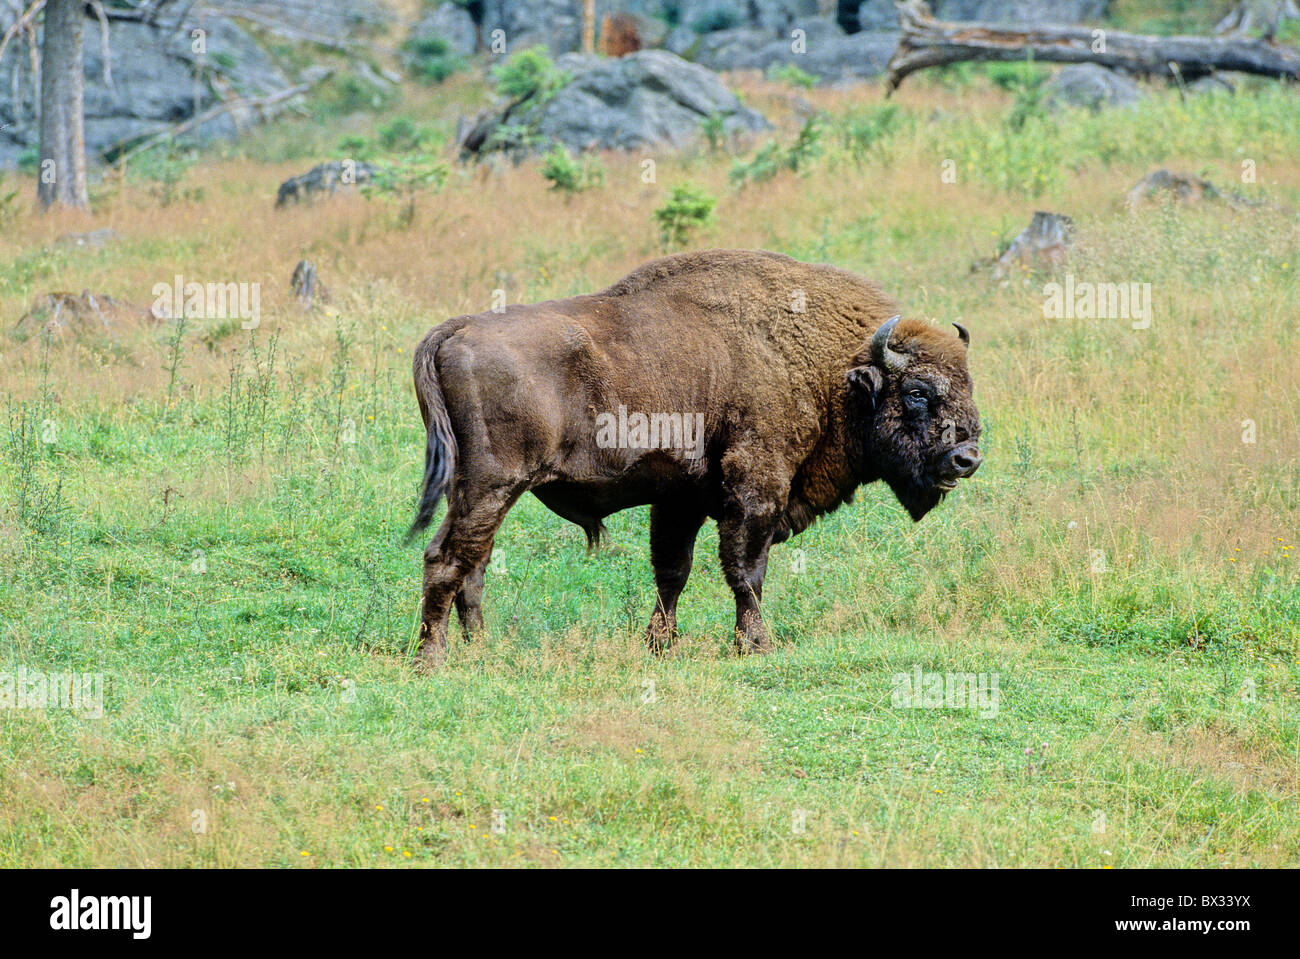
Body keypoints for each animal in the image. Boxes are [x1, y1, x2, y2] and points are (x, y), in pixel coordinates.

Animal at [407, 250, 981, 666]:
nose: (967, 458)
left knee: (474, 564)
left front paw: (661, 645)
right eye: (917, 392)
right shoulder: (755, 488)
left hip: (485, 490)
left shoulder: (678, 499)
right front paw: (755, 645)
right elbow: (745, 571)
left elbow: (672, 571)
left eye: (968, 383)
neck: (836, 373)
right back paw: (432, 659)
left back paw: (482, 649)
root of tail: (455, 330)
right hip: (493, 484)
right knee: (447, 559)